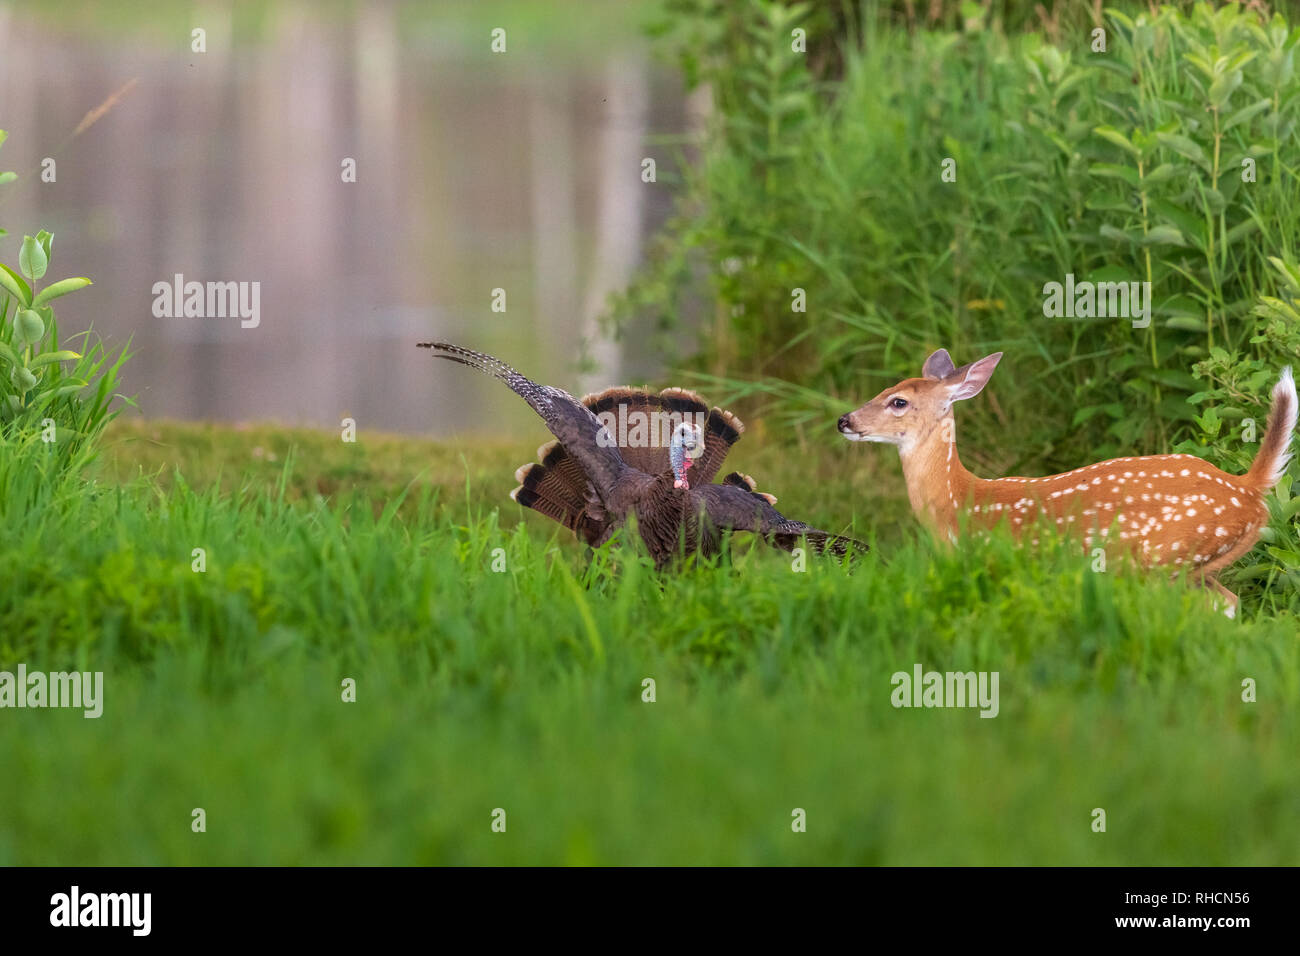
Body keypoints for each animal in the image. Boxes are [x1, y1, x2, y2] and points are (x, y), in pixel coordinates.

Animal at [838, 349, 1297, 617]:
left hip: (1167, 556)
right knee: (1229, 602)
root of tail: (1247, 487)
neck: (956, 500)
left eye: (898, 402)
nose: (845, 420)